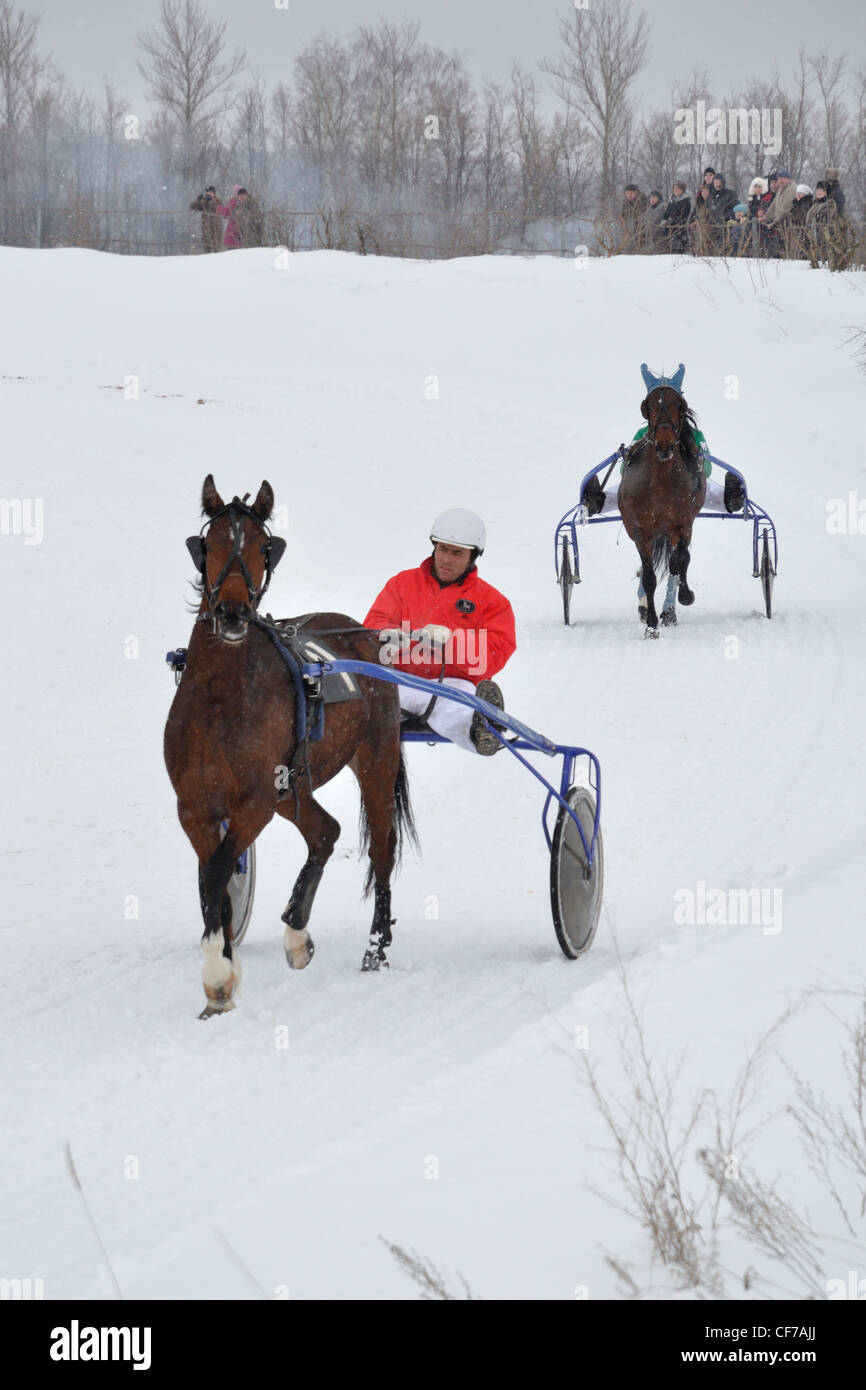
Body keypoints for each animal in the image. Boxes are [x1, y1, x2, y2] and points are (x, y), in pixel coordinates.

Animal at [164, 475, 417, 1017]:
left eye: (264, 546)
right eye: (210, 544)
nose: (233, 613)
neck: (221, 696)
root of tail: (362, 634)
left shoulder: (255, 798)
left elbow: (218, 870)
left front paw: (217, 978)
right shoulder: (194, 805)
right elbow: (212, 879)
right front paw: (226, 965)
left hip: (375, 757)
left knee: (381, 848)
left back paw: (376, 948)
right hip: (293, 785)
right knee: (325, 831)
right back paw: (297, 932)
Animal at [617, 377, 707, 632]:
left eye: (678, 405)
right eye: (650, 406)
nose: (665, 444)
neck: (661, 481)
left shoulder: (683, 524)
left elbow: (680, 560)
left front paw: (685, 595)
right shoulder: (641, 531)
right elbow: (648, 575)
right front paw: (651, 622)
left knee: (676, 562)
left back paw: (670, 610)